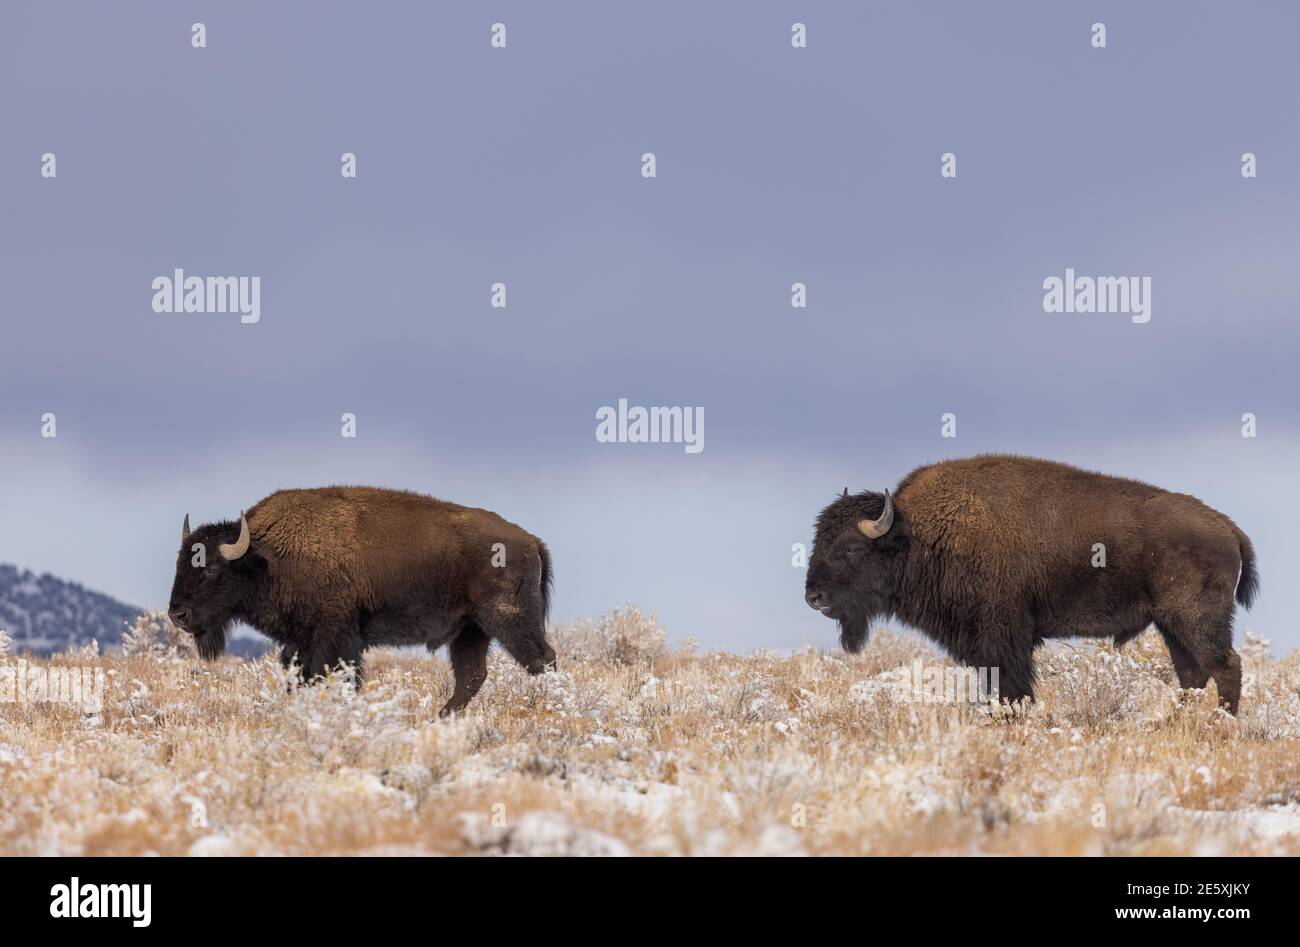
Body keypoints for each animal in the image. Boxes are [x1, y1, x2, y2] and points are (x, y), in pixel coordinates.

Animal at [168, 486, 555, 713]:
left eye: (212, 569)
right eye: (180, 563)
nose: (178, 614)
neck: (267, 557)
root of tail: (531, 541)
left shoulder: (335, 637)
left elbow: (335, 677)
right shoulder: (301, 641)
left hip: (509, 620)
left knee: (542, 660)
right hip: (470, 631)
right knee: (472, 675)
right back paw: (440, 718)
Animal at [805, 454, 1257, 713]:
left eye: (850, 548)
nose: (813, 596)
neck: (920, 534)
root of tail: (1228, 526)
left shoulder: (1004, 637)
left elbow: (1014, 687)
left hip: (1195, 620)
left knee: (1225, 666)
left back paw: (1221, 722)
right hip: (1171, 626)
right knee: (1192, 674)